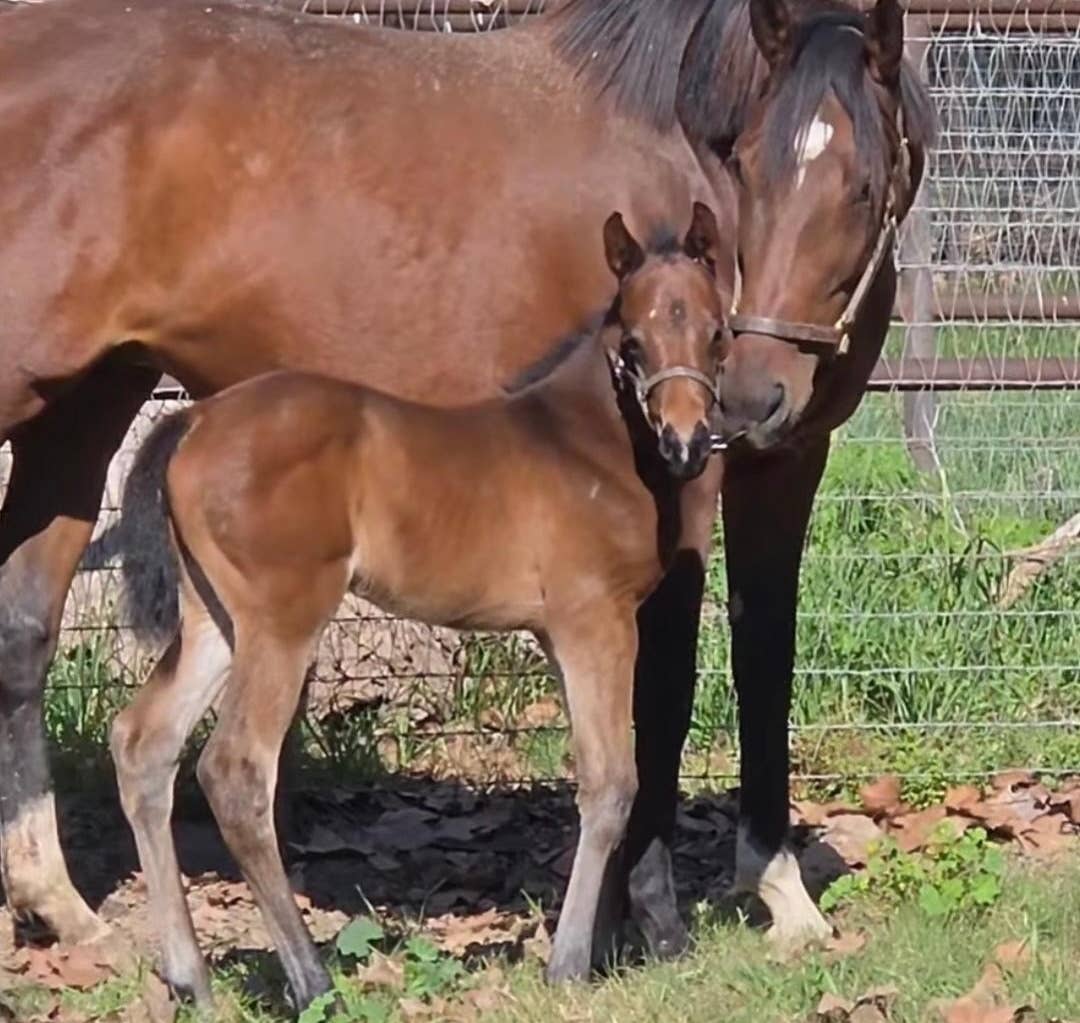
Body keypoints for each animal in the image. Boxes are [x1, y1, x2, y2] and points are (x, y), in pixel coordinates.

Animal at [108, 206, 728, 1007]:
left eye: (716, 332)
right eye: (634, 342)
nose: (687, 443)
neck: (585, 444)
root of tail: (196, 421)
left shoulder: (558, 634)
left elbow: (598, 774)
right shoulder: (598, 620)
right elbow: (612, 781)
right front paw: (568, 964)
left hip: (215, 617)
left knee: (143, 742)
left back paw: (191, 977)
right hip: (284, 618)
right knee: (235, 769)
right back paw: (311, 980)